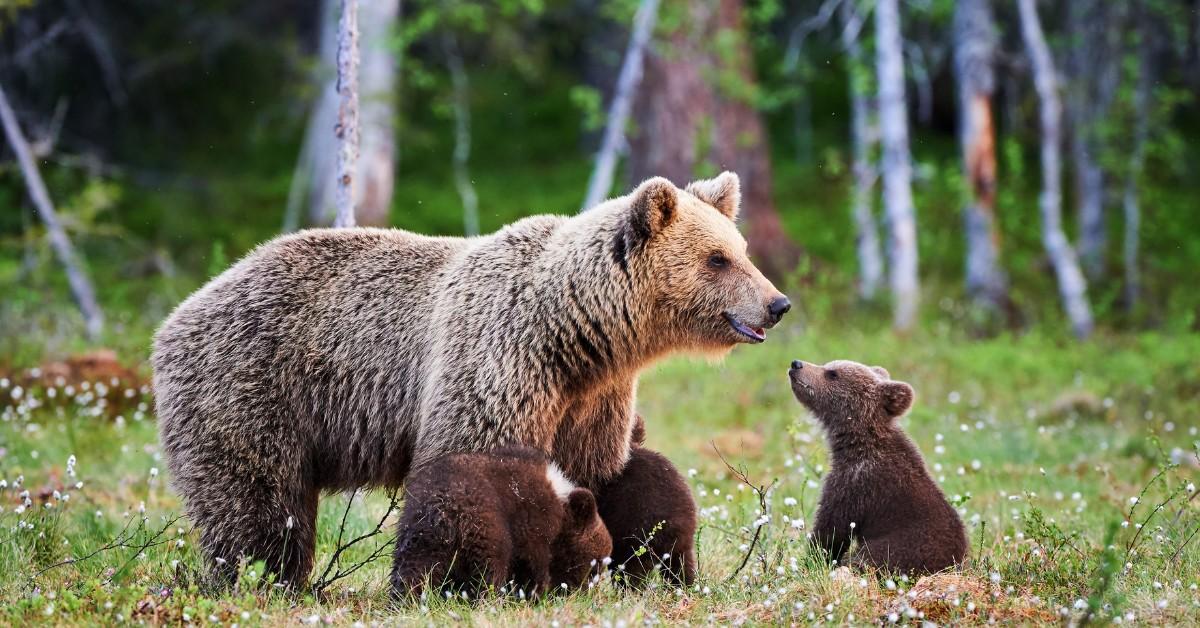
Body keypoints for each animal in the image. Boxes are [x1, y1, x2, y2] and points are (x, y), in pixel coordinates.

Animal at [390, 446, 611, 598]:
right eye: (595, 564)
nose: (581, 593)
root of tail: (443, 509)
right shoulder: (532, 522)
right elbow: (534, 561)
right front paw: (536, 593)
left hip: (419, 538)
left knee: (411, 571)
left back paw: (404, 599)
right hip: (484, 525)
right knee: (490, 566)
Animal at [787, 359, 967, 574]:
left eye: (832, 373)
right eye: (827, 365)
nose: (796, 364)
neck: (858, 443)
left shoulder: (856, 484)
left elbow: (832, 527)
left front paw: (812, 560)